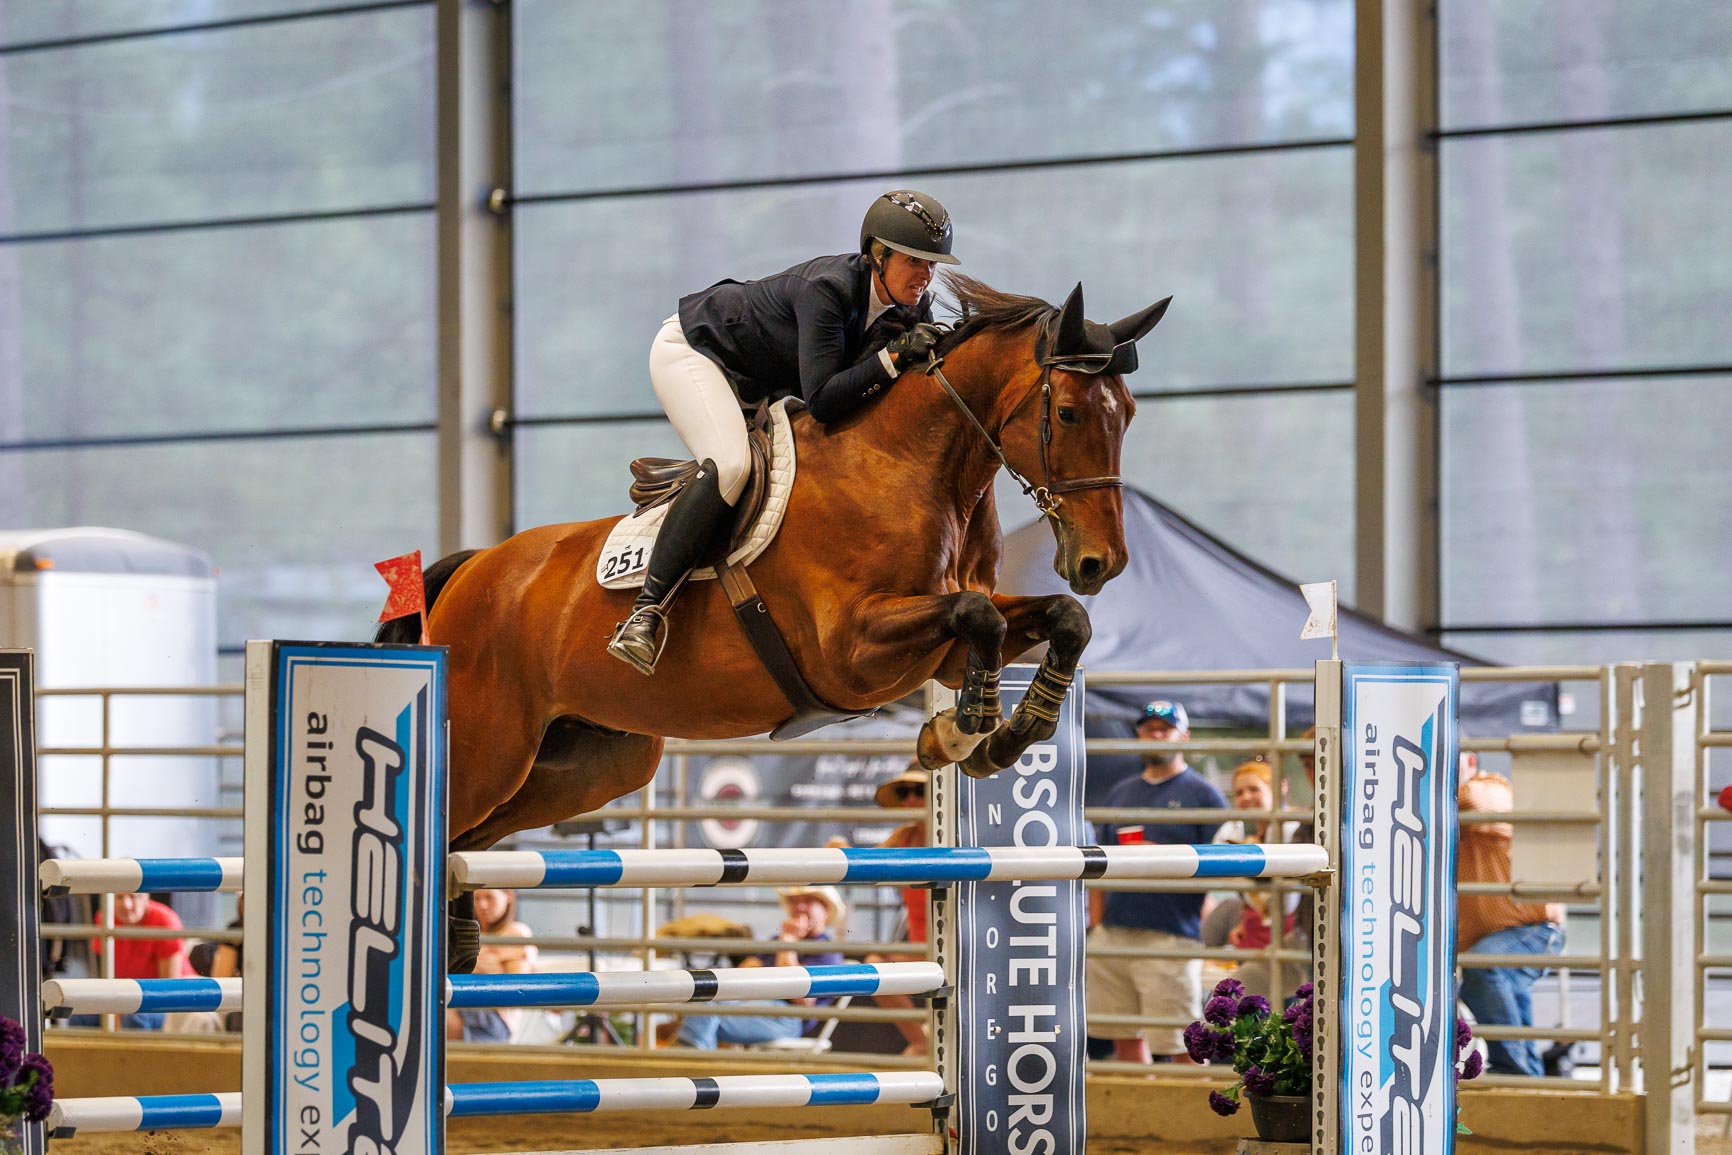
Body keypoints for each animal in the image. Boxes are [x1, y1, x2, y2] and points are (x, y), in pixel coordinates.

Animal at [381, 274, 1168, 864]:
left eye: (1129, 413)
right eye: (1068, 414)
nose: (1101, 561)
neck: (912, 465)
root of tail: (473, 571)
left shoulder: (942, 649)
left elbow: (1061, 618)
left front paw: (1001, 732)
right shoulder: (851, 651)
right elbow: (977, 619)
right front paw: (966, 728)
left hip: (586, 764)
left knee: (465, 844)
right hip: (489, 747)